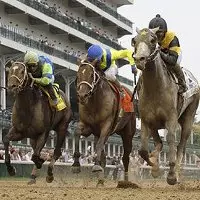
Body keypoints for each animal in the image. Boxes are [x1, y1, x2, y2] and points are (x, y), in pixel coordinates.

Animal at [71, 59, 136, 188]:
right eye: (78, 76)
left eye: (91, 75)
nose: (82, 96)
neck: (95, 102)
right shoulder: (88, 126)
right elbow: (76, 132)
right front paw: (76, 164)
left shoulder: (106, 126)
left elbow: (99, 145)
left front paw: (96, 166)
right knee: (104, 157)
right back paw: (100, 181)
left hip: (128, 132)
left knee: (125, 157)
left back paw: (126, 182)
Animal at [132, 27, 199, 185]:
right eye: (134, 40)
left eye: (152, 40)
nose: (139, 59)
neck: (155, 88)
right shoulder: (146, 120)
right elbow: (143, 150)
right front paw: (155, 168)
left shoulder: (171, 119)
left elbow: (171, 141)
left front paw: (171, 175)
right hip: (155, 124)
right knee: (158, 143)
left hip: (188, 118)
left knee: (181, 145)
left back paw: (178, 172)